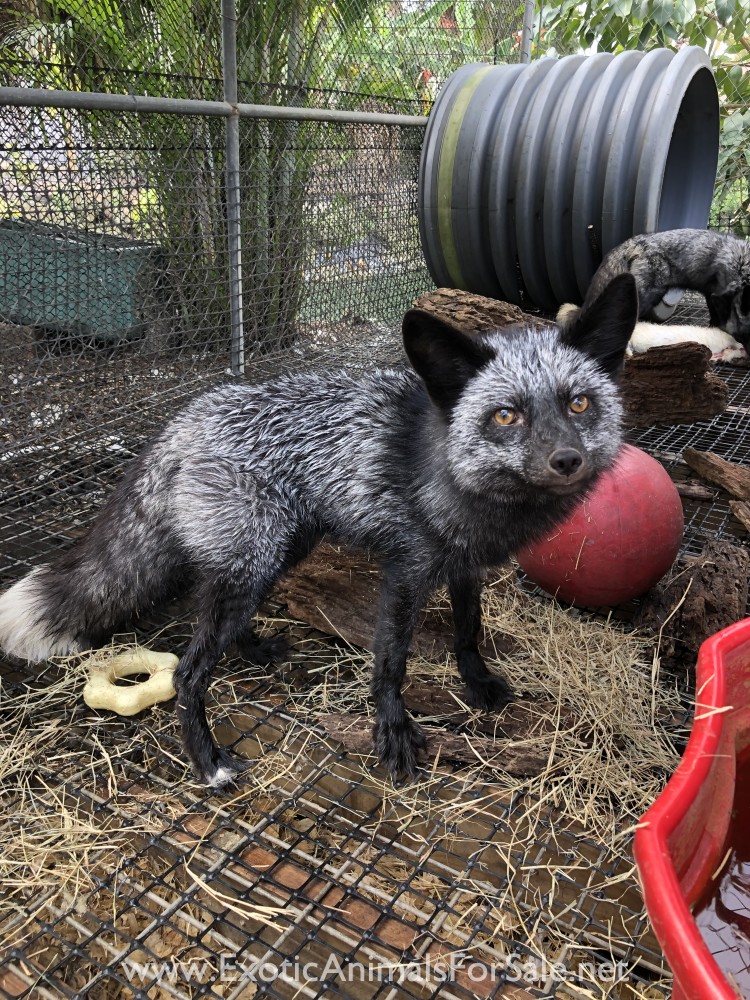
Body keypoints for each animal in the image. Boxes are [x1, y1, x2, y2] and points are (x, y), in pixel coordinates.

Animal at [0, 274, 638, 789]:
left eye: (579, 404)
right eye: (507, 415)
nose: (567, 461)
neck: (457, 477)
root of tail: (187, 416)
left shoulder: (465, 564)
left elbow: (468, 631)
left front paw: (477, 684)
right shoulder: (405, 574)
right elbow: (391, 663)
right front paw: (392, 731)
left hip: (273, 555)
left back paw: (254, 649)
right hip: (254, 561)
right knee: (187, 672)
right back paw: (208, 763)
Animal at [559, 229, 750, 351]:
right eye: (742, 337)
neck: (742, 265)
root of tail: (635, 241)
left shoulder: (712, 294)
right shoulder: (717, 293)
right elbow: (718, 318)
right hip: (648, 294)